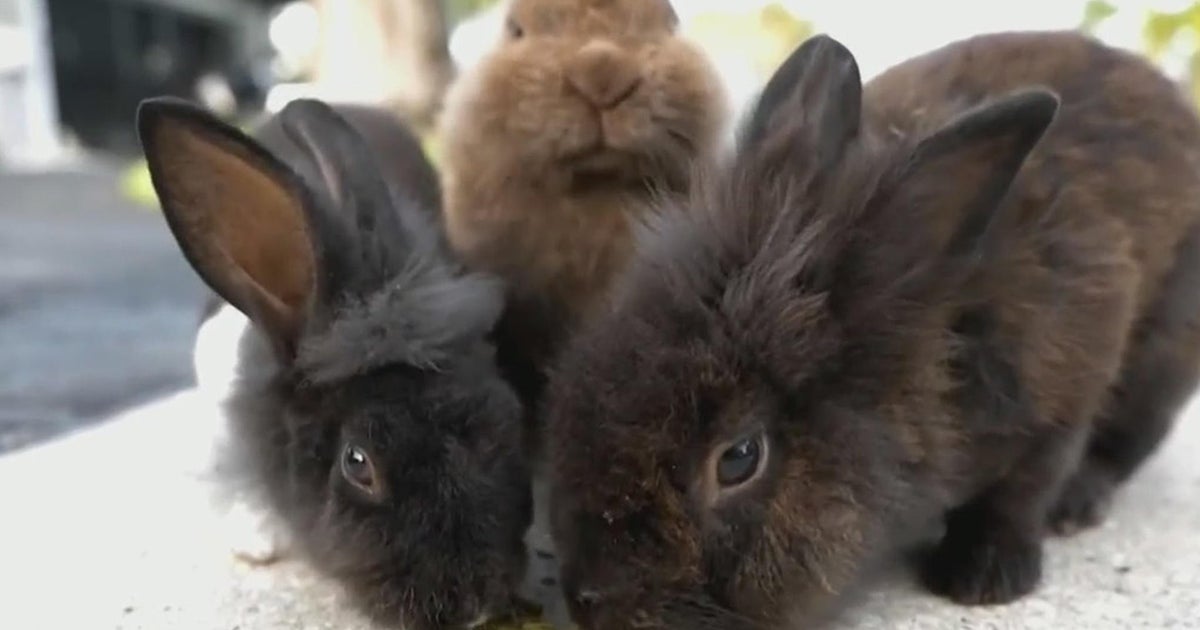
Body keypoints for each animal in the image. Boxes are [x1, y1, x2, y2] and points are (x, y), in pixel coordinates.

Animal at [542, 30, 1200, 630]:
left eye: (739, 459)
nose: (589, 600)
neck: (934, 352)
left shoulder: (1064, 390)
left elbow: (1025, 488)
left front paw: (985, 580)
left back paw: (1078, 503)